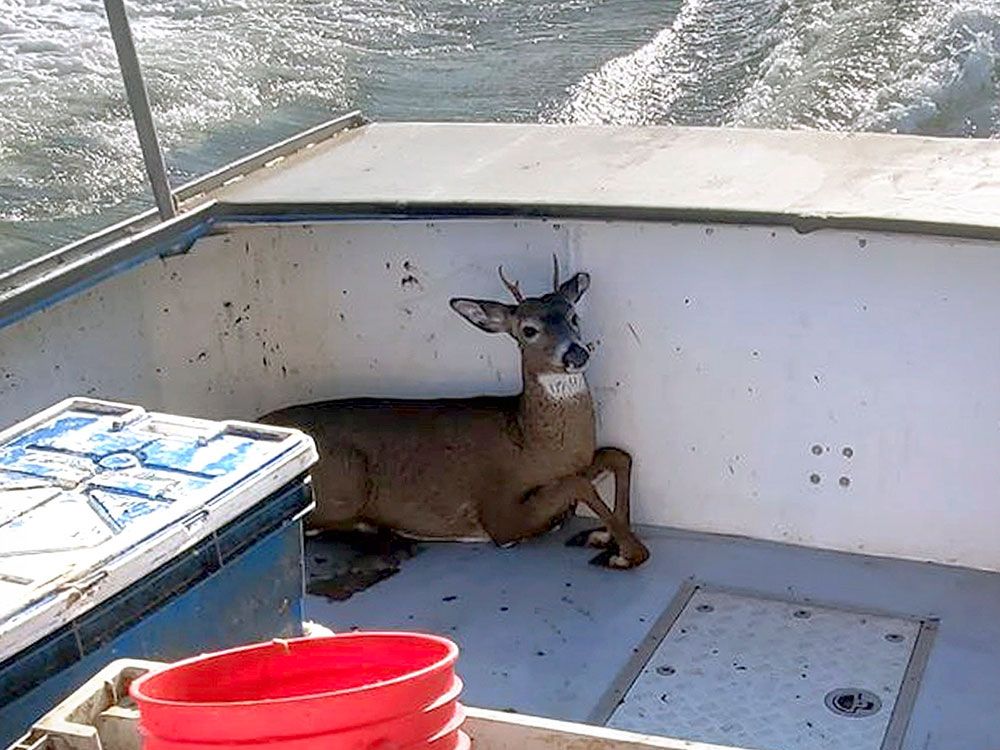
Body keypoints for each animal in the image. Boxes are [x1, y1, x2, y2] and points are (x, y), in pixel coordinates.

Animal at [260, 258, 650, 569]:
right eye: (529, 330)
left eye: (573, 316)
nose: (577, 354)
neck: (532, 446)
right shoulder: (500, 515)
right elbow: (579, 483)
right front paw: (628, 552)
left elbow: (619, 455)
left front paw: (605, 536)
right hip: (345, 480)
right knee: (314, 525)